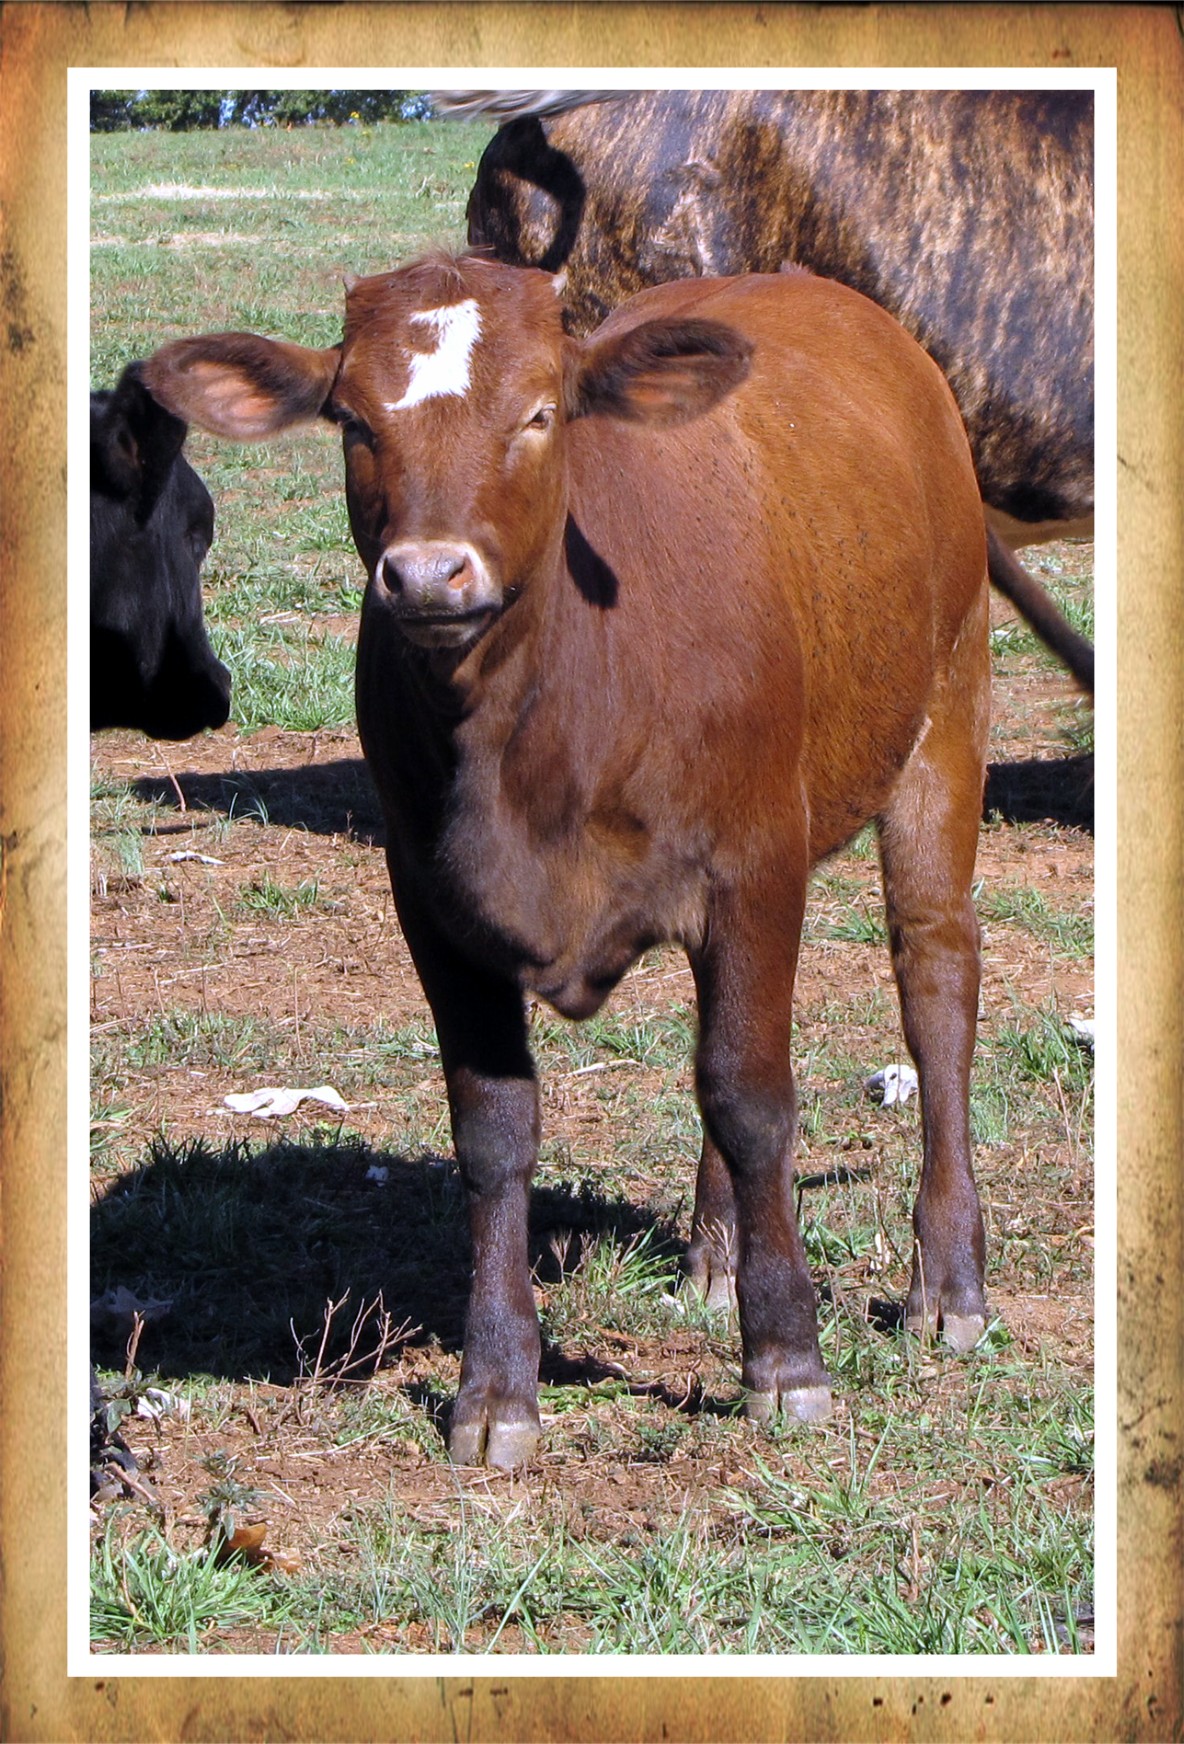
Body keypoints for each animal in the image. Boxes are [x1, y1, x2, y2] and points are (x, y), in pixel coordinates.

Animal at [144, 253, 992, 1470]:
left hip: (945, 712)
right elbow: (496, 1130)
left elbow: (751, 1096)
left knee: (933, 982)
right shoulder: (431, 901)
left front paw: (786, 1356)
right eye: (353, 420)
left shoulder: (755, 869)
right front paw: (496, 1388)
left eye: (540, 411)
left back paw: (947, 1280)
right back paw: (717, 1255)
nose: (427, 576)